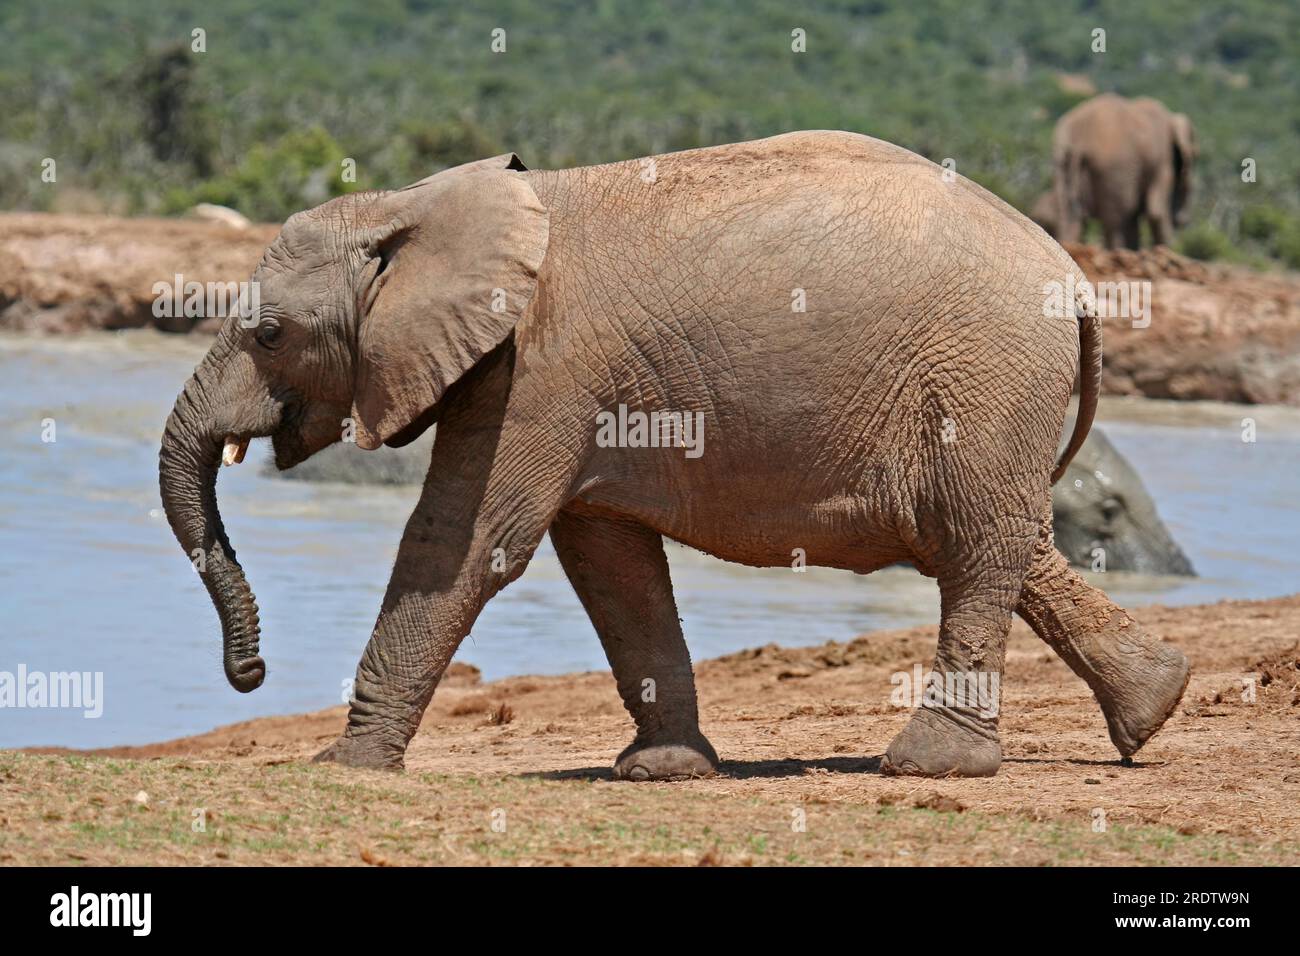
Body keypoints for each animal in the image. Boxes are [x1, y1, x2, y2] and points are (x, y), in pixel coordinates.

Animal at [159, 131, 1191, 778]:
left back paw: (932, 766)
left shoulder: (542, 369)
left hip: (981, 377)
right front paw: (662, 773)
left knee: (974, 545)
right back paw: (1156, 709)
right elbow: (607, 559)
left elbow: (465, 542)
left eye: (269, 334)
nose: (251, 674)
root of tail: (1076, 281)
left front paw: (343, 768)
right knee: (995, 539)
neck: (420, 203)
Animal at [1052, 93, 1197, 249]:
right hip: (1115, 168)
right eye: (1193, 158)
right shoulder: (1163, 161)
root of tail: (1080, 142)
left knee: (1072, 219)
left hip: (1063, 160)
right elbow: (1156, 212)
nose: (1184, 220)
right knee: (1116, 225)